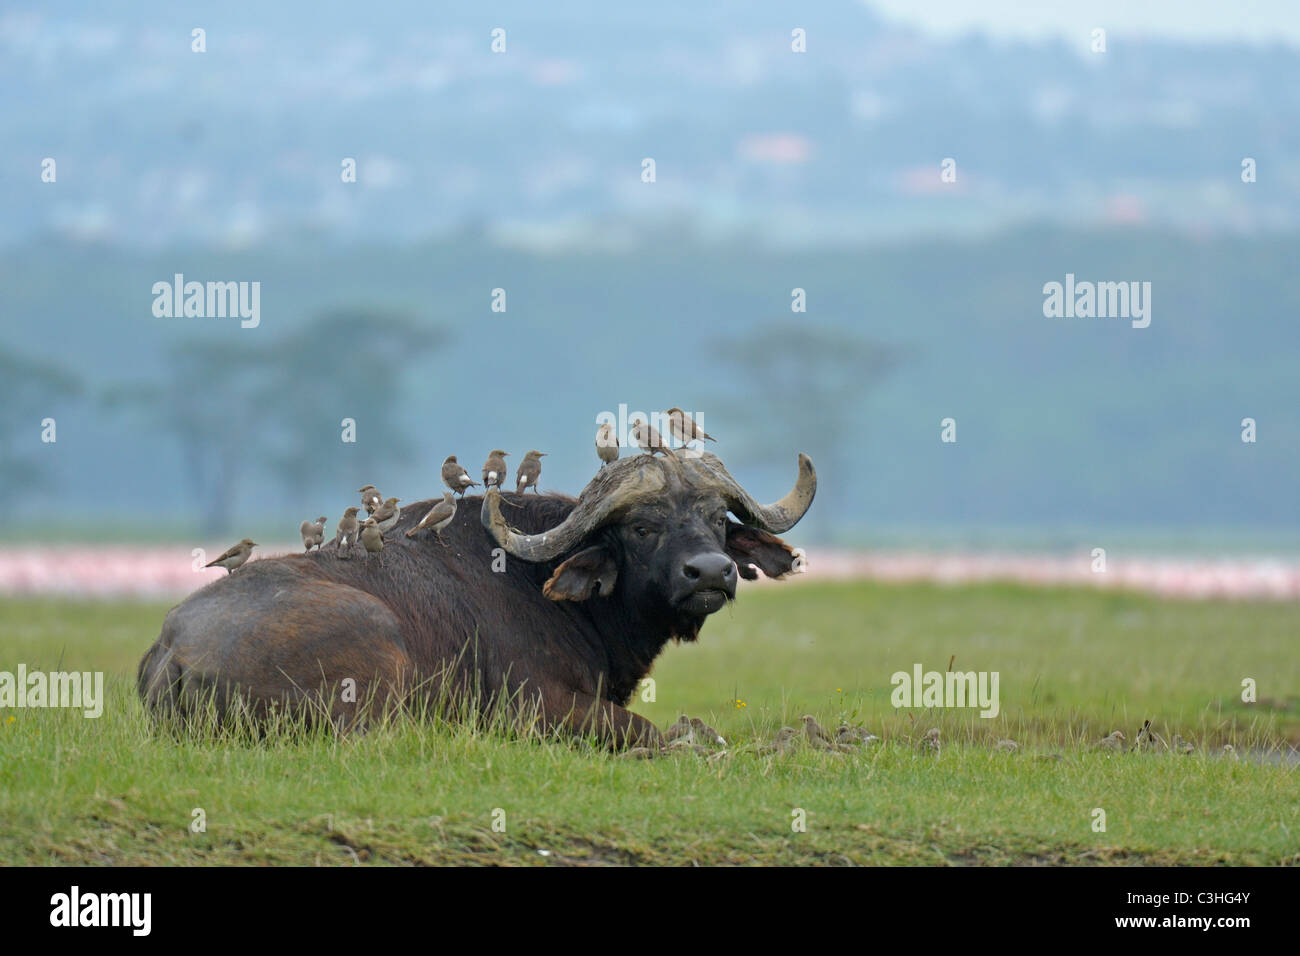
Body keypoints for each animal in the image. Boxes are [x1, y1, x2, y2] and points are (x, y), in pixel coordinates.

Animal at [137, 450, 815, 748]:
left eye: (717, 519)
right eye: (643, 527)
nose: (710, 573)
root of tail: (174, 652)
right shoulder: (536, 707)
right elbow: (652, 732)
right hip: (377, 649)